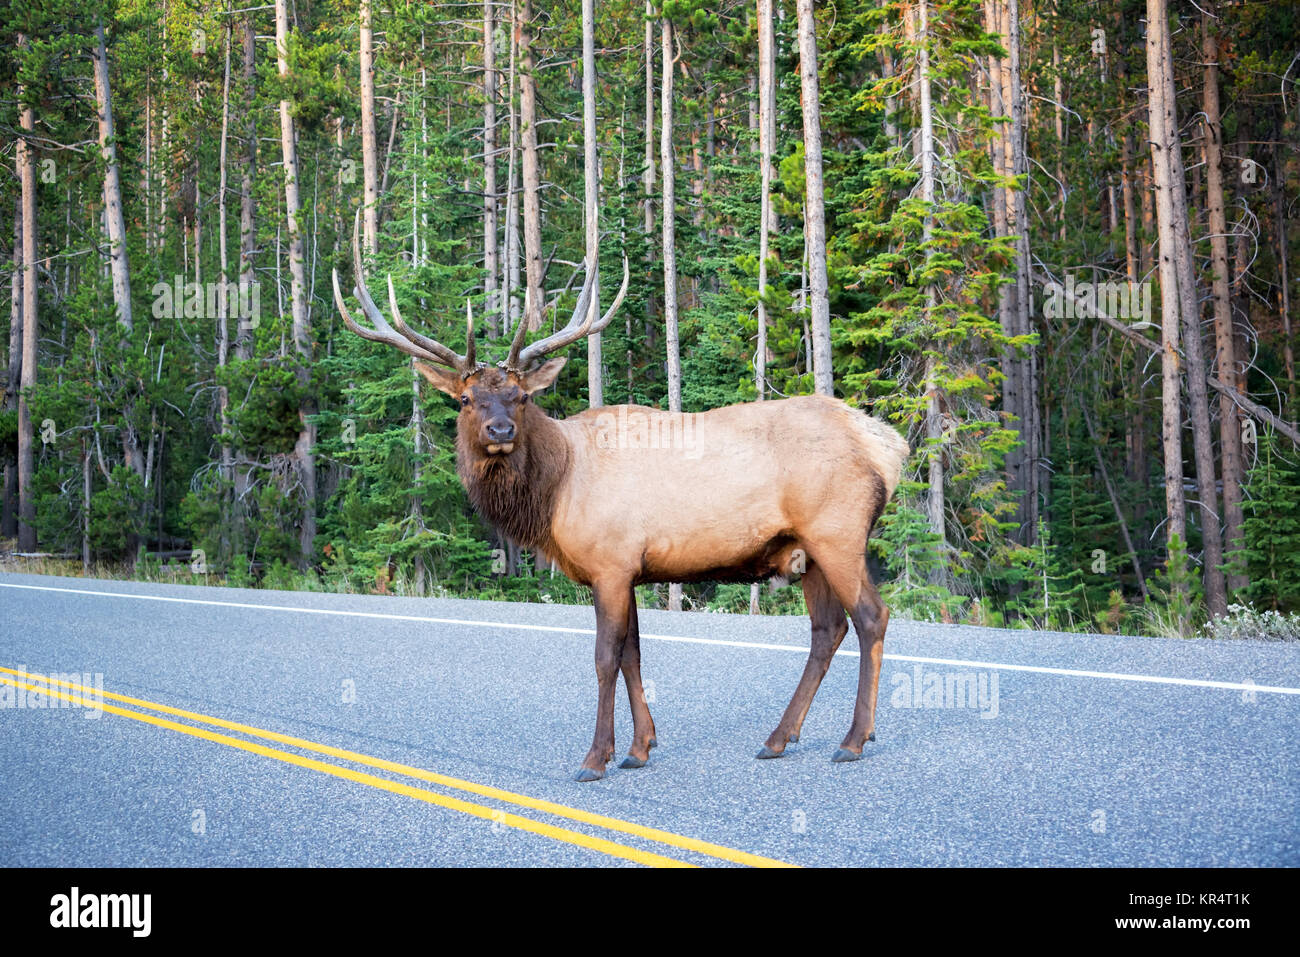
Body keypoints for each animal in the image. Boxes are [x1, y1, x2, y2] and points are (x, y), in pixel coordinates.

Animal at [333, 220, 910, 782]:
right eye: (466, 399)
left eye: (522, 397)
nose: (500, 430)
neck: (555, 491)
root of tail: (888, 445)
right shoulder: (629, 567)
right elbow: (634, 655)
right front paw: (639, 748)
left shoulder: (610, 563)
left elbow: (605, 658)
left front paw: (595, 758)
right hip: (803, 549)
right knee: (827, 629)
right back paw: (777, 739)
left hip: (838, 532)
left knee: (871, 617)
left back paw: (853, 740)